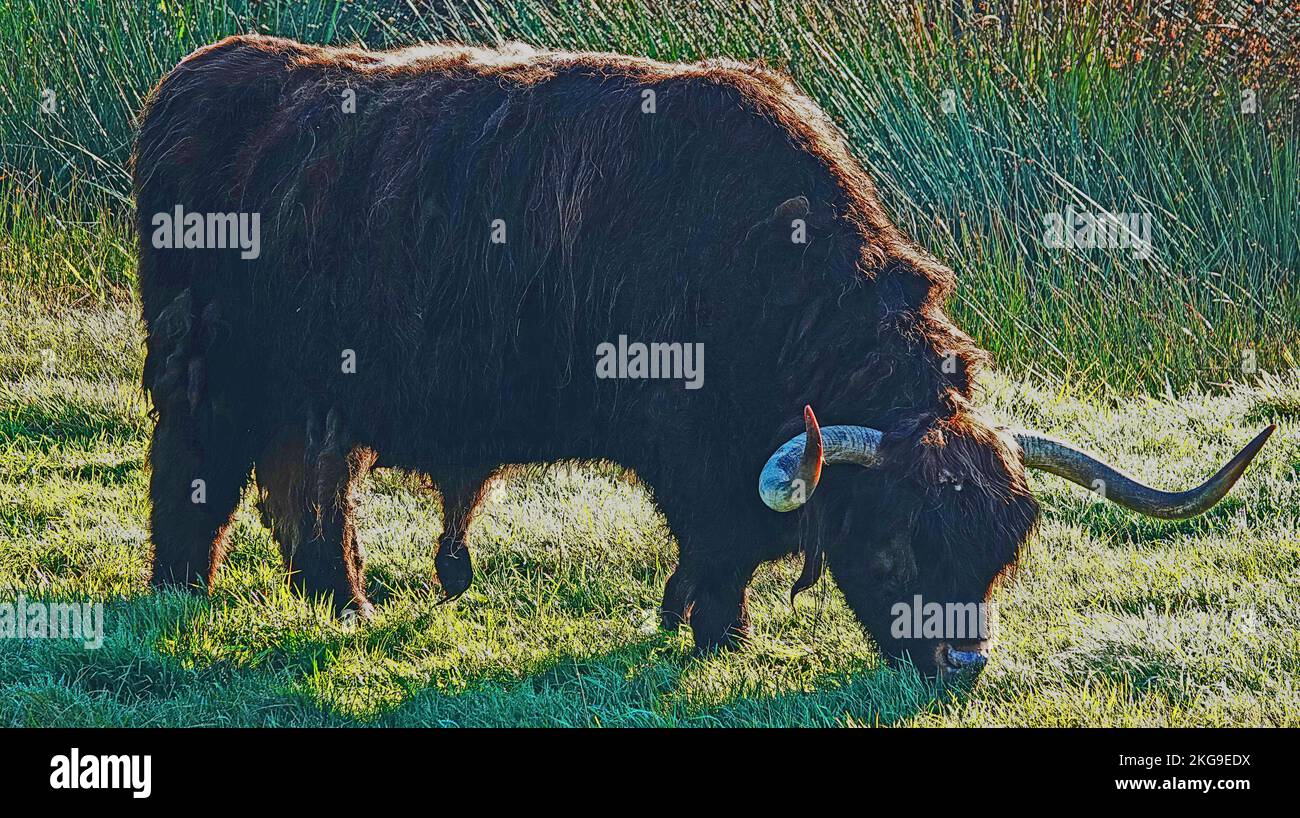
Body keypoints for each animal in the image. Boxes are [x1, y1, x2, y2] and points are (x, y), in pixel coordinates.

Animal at [133, 35, 1273, 678]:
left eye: (999, 548)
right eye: (897, 540)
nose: (961, 662)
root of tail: (196, 76)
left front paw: (685, 614)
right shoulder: (692, 451)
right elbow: (718, 548)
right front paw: (718, 634)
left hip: (313, 397)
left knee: (311, 494)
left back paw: (351, 603)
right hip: (205, 379)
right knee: (198, 485)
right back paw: (185, 597)